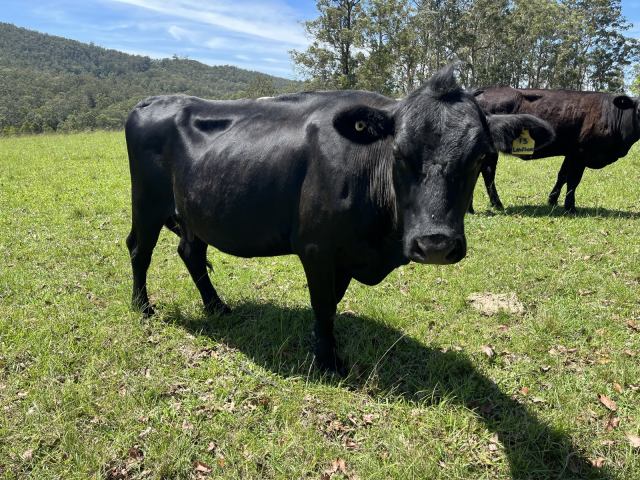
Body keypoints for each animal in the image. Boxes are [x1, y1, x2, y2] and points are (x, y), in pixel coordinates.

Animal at [125, 66, 554, 373]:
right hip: (147, 203)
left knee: (190, 252)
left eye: (480, 156)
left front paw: (323, 346)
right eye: (398, 153)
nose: (436, 244)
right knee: (139, 249)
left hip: (193, 211)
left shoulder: (345, 256)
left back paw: (216, 306)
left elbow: (331, 302)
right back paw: (143, 307)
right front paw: (328, 361)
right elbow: (322, 304)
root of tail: (149, 103)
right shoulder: (316, 248)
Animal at [473, 87, 639, 212]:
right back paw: (497, 203)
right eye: (639, 110)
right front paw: (570, 207)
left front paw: (552, 200)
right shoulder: (581, 153)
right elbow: (573, 180)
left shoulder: (571, 153)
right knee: (488, 172)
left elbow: (562, 176)